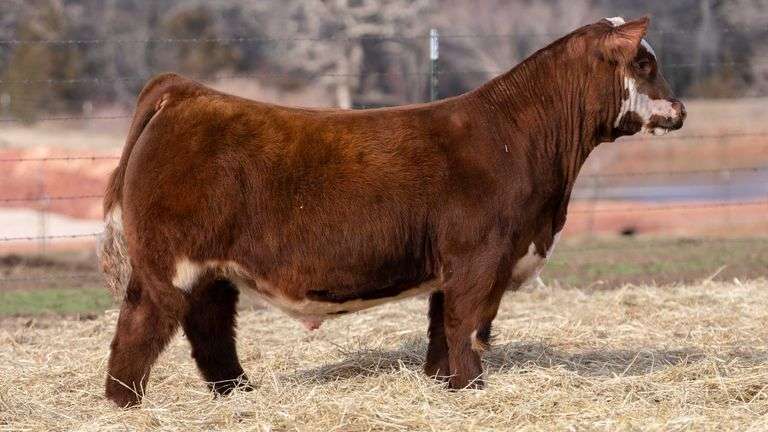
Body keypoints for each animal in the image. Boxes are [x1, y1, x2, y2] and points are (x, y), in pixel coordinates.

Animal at [100, 16, 685, 407]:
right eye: (644, 61)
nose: (679, 109)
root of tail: (185, 92)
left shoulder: (453, 265)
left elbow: (441, 328)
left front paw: (444, 383)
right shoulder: (481, 256)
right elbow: (466, 322)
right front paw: (472, 386)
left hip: (213, 272)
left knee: (210, 328)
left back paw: (238, 393)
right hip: (168, 266)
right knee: (140, 327)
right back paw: (126, 403)